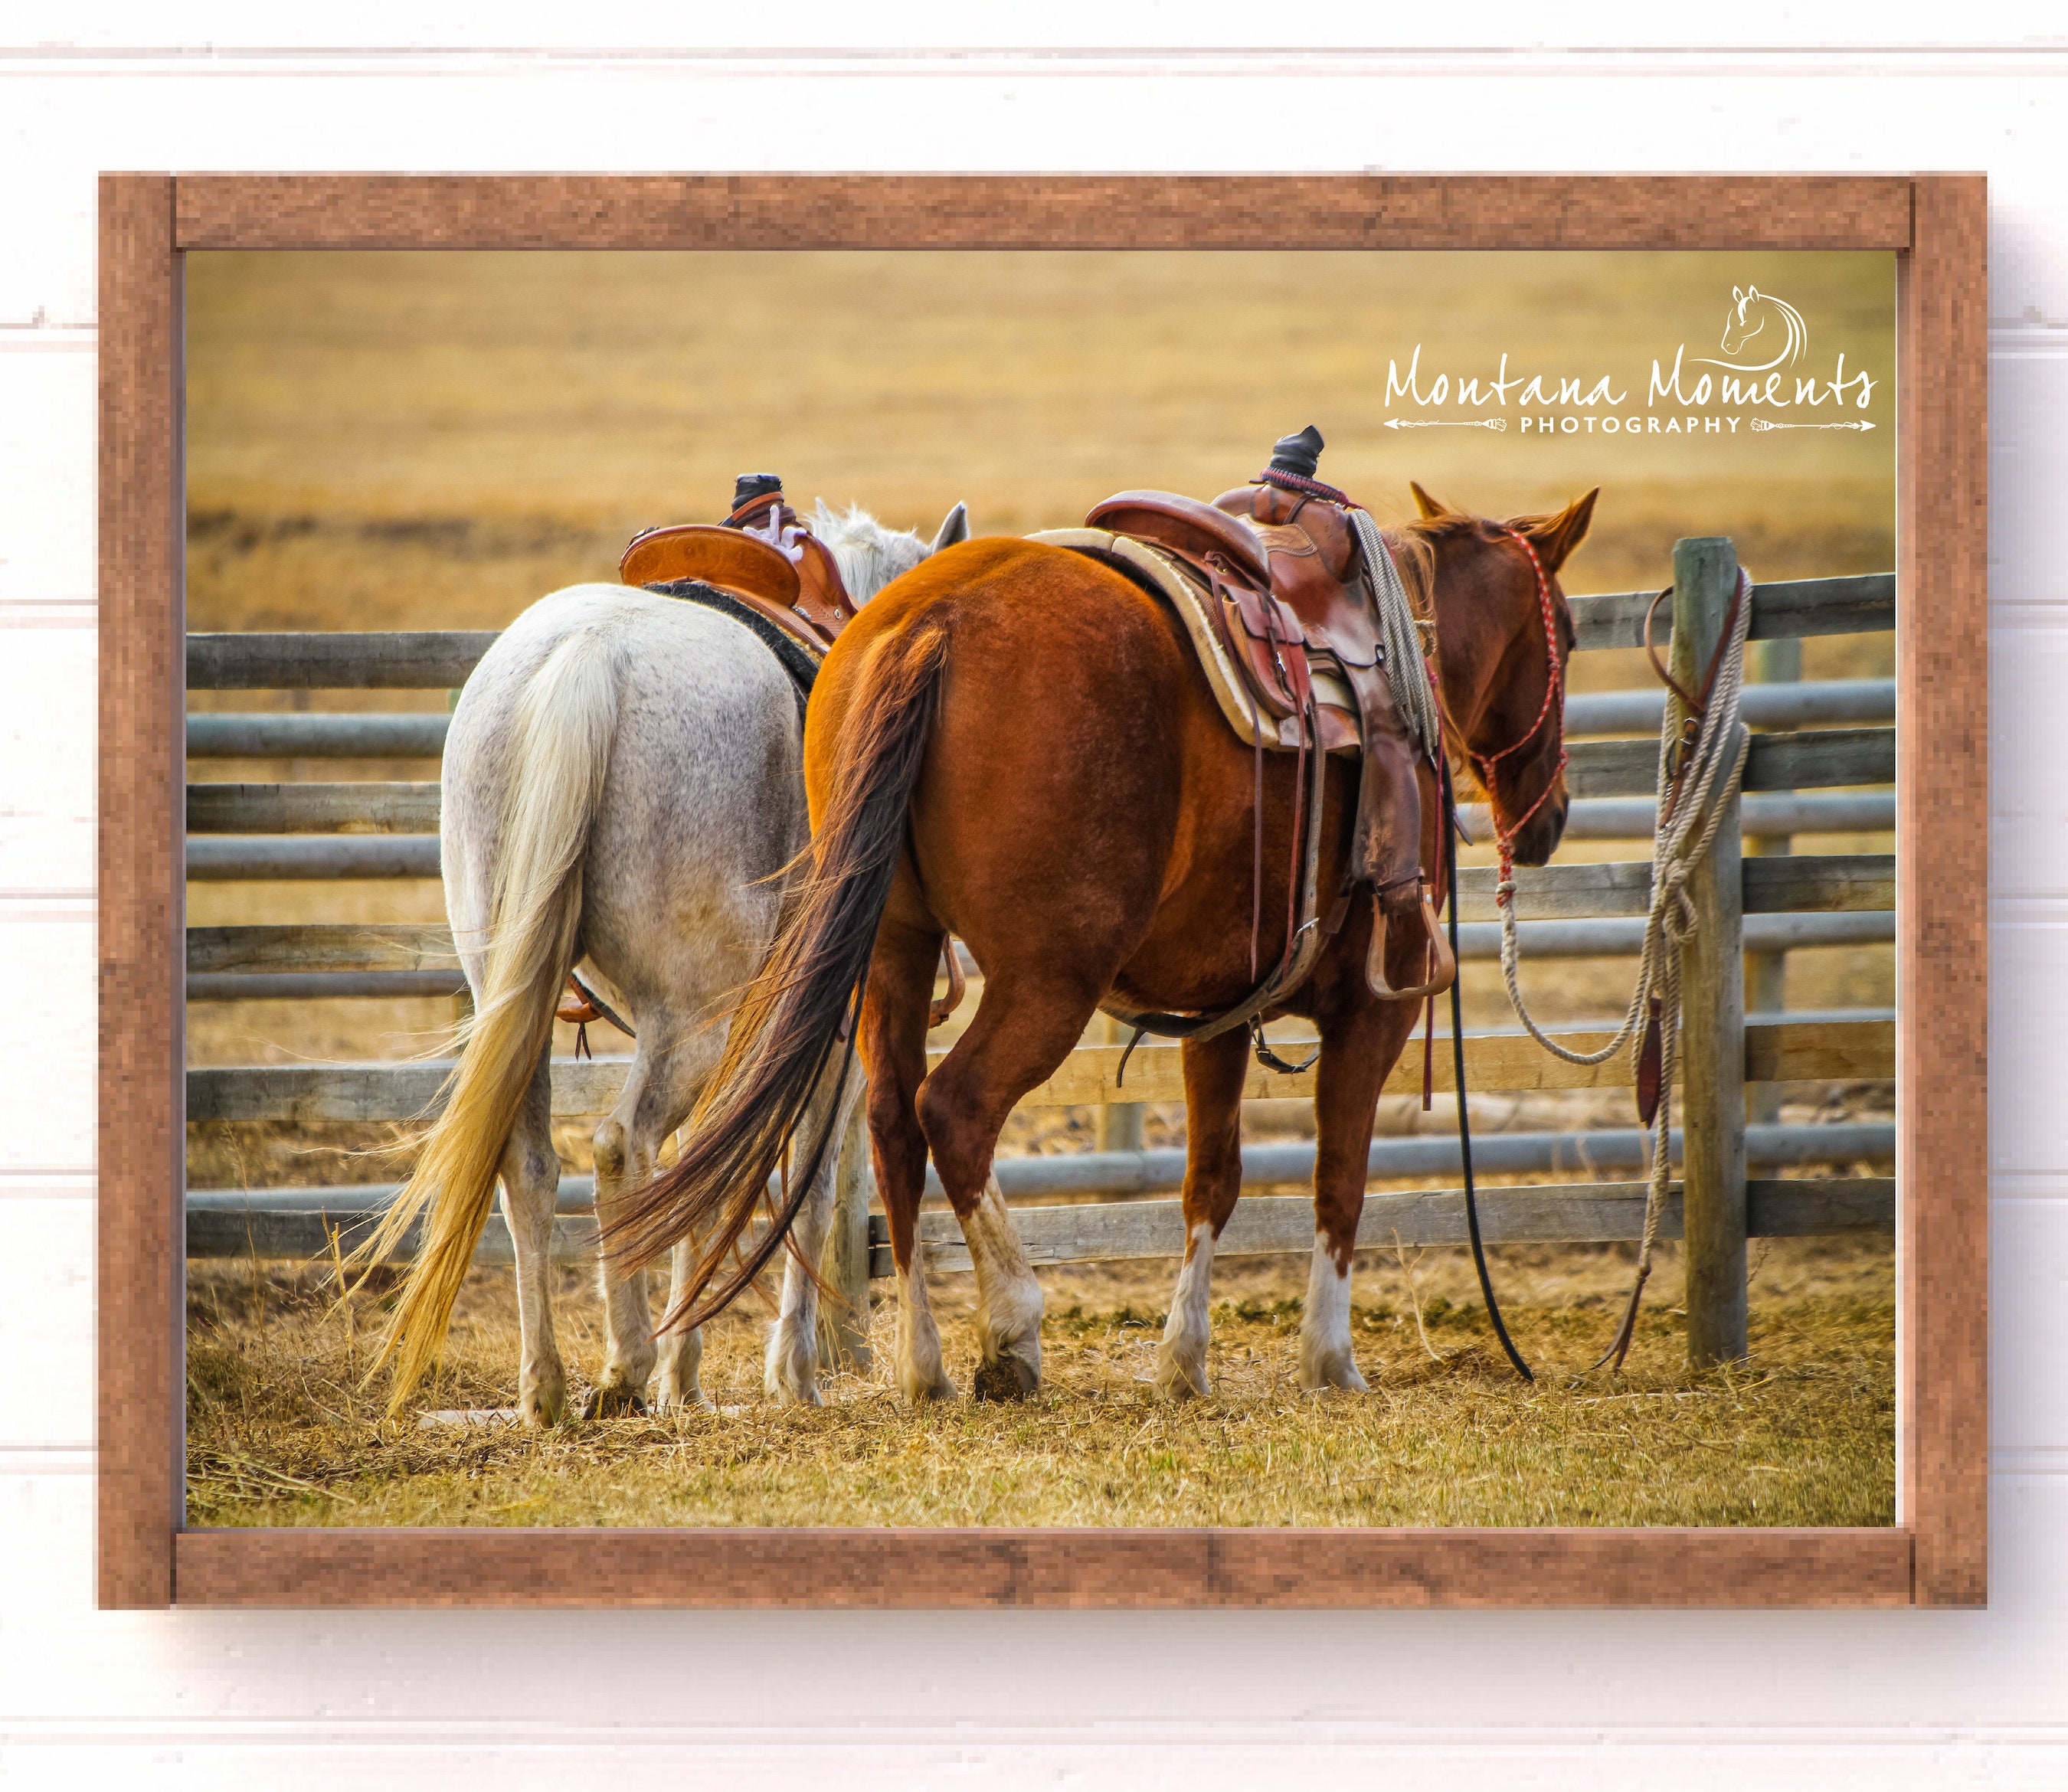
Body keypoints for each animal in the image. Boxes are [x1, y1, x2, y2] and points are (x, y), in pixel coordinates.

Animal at [365, 499, 969, 1425]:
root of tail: (587, 660)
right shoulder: (829, 1044)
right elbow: (805, 1185)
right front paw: (791, 1372)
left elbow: (705, 1179)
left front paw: (690, 1373)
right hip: (692, 1021)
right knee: (623, 1148)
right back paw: (625, 1366)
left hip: (522, 996)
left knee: (532, 1164)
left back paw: (547, 1387)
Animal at [603, 481, 1595, 1403]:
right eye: (1574, 636)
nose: (1551, 817)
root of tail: (930, 624)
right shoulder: (1370, 1009)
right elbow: (1338, 1175)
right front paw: (1330, 1359)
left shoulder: (1220, 1011)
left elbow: (1212, 1177)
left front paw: (1184, 1361)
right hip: (1049, 981)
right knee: (955, 1109)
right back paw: (1011, 1329)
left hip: (896, 951)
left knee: (892, 1119)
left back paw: (925, 1362)